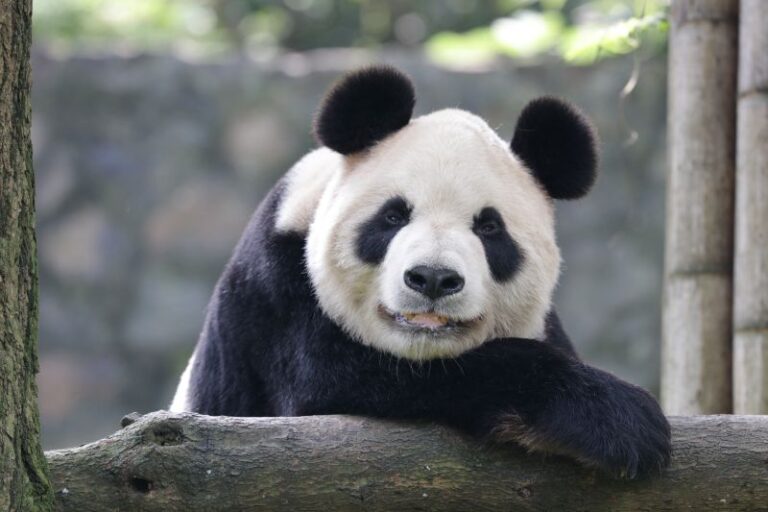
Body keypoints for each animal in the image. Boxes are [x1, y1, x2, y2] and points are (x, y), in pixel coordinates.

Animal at [171, 66, 671, 479]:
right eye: (393, 216)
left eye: (489, 227)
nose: (432, 278)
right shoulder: (275, 289)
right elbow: (338, 379)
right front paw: (619, 419)